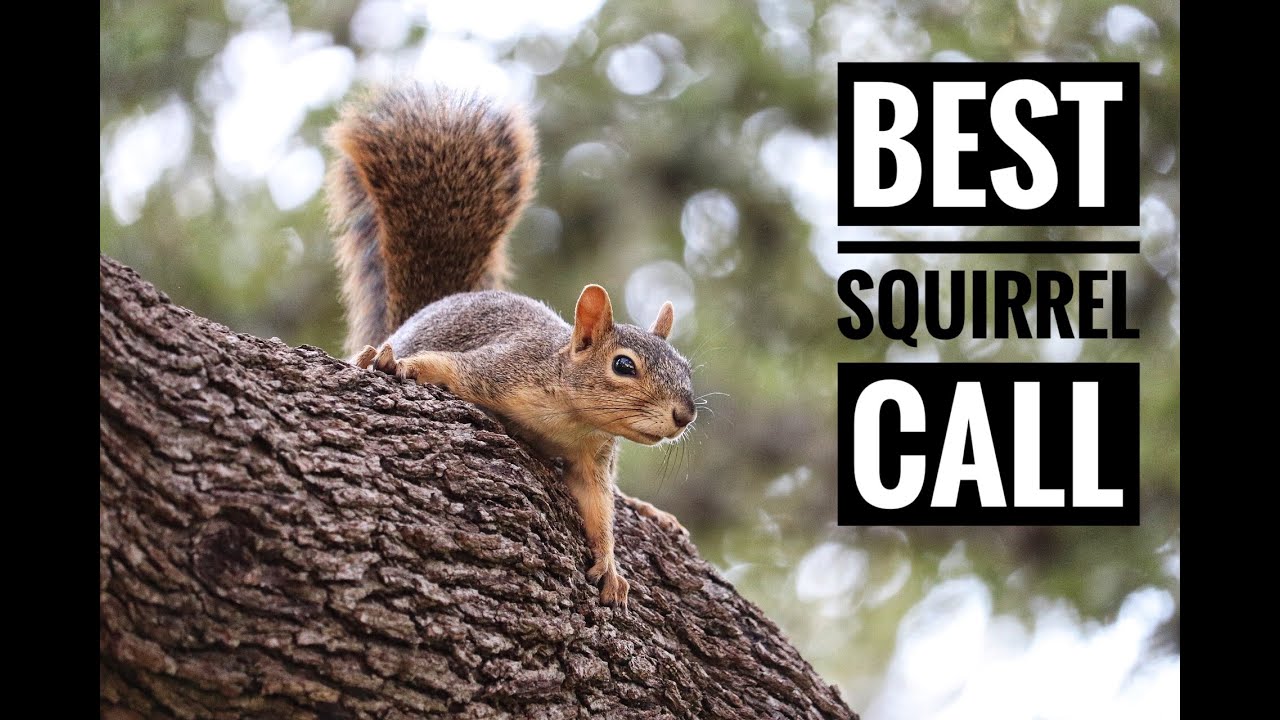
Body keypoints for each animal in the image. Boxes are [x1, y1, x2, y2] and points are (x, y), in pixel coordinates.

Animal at [326, 85, 697, 609]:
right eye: (623, 365)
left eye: (686, 367)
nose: (685, 415)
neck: (569, 415)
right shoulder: (501, 367)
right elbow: (444, 367)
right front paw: (397, 364)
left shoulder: (593, 457)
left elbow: (599, 506)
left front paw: (609, 563)